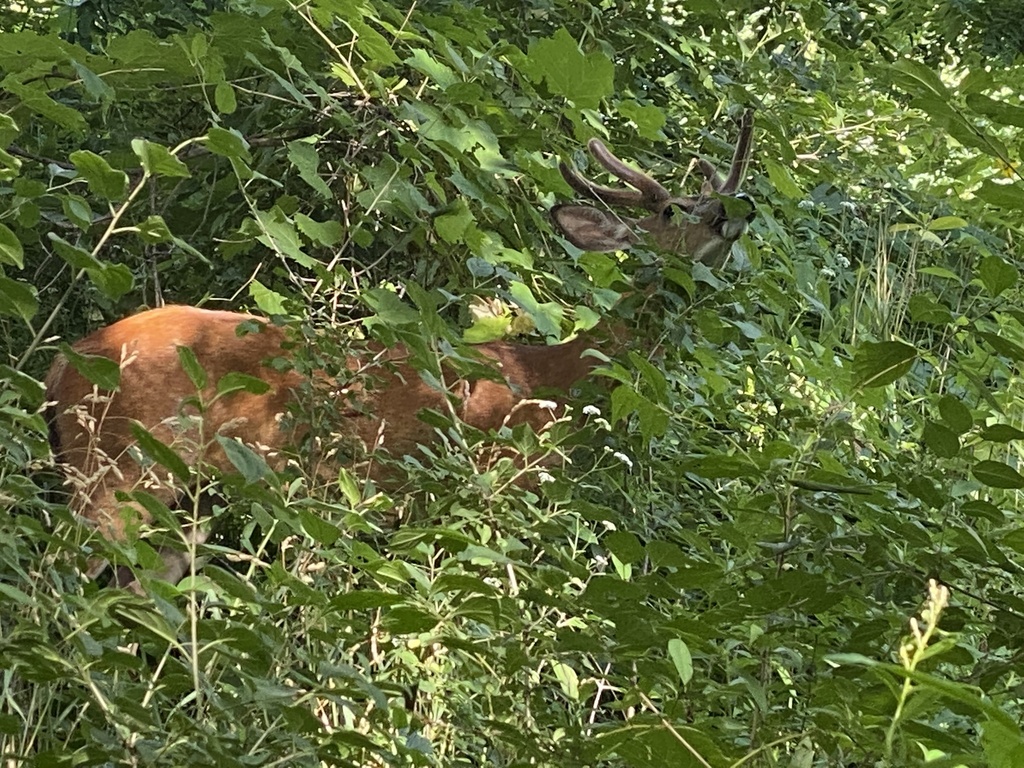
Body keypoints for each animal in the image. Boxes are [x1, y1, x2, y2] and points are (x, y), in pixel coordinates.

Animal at [45, 110, 755, 587]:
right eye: (672, 210)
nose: (736, 210)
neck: (552, 381)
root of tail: (64, 361)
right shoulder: (493, 486)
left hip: (177, 500)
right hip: (120, 464)